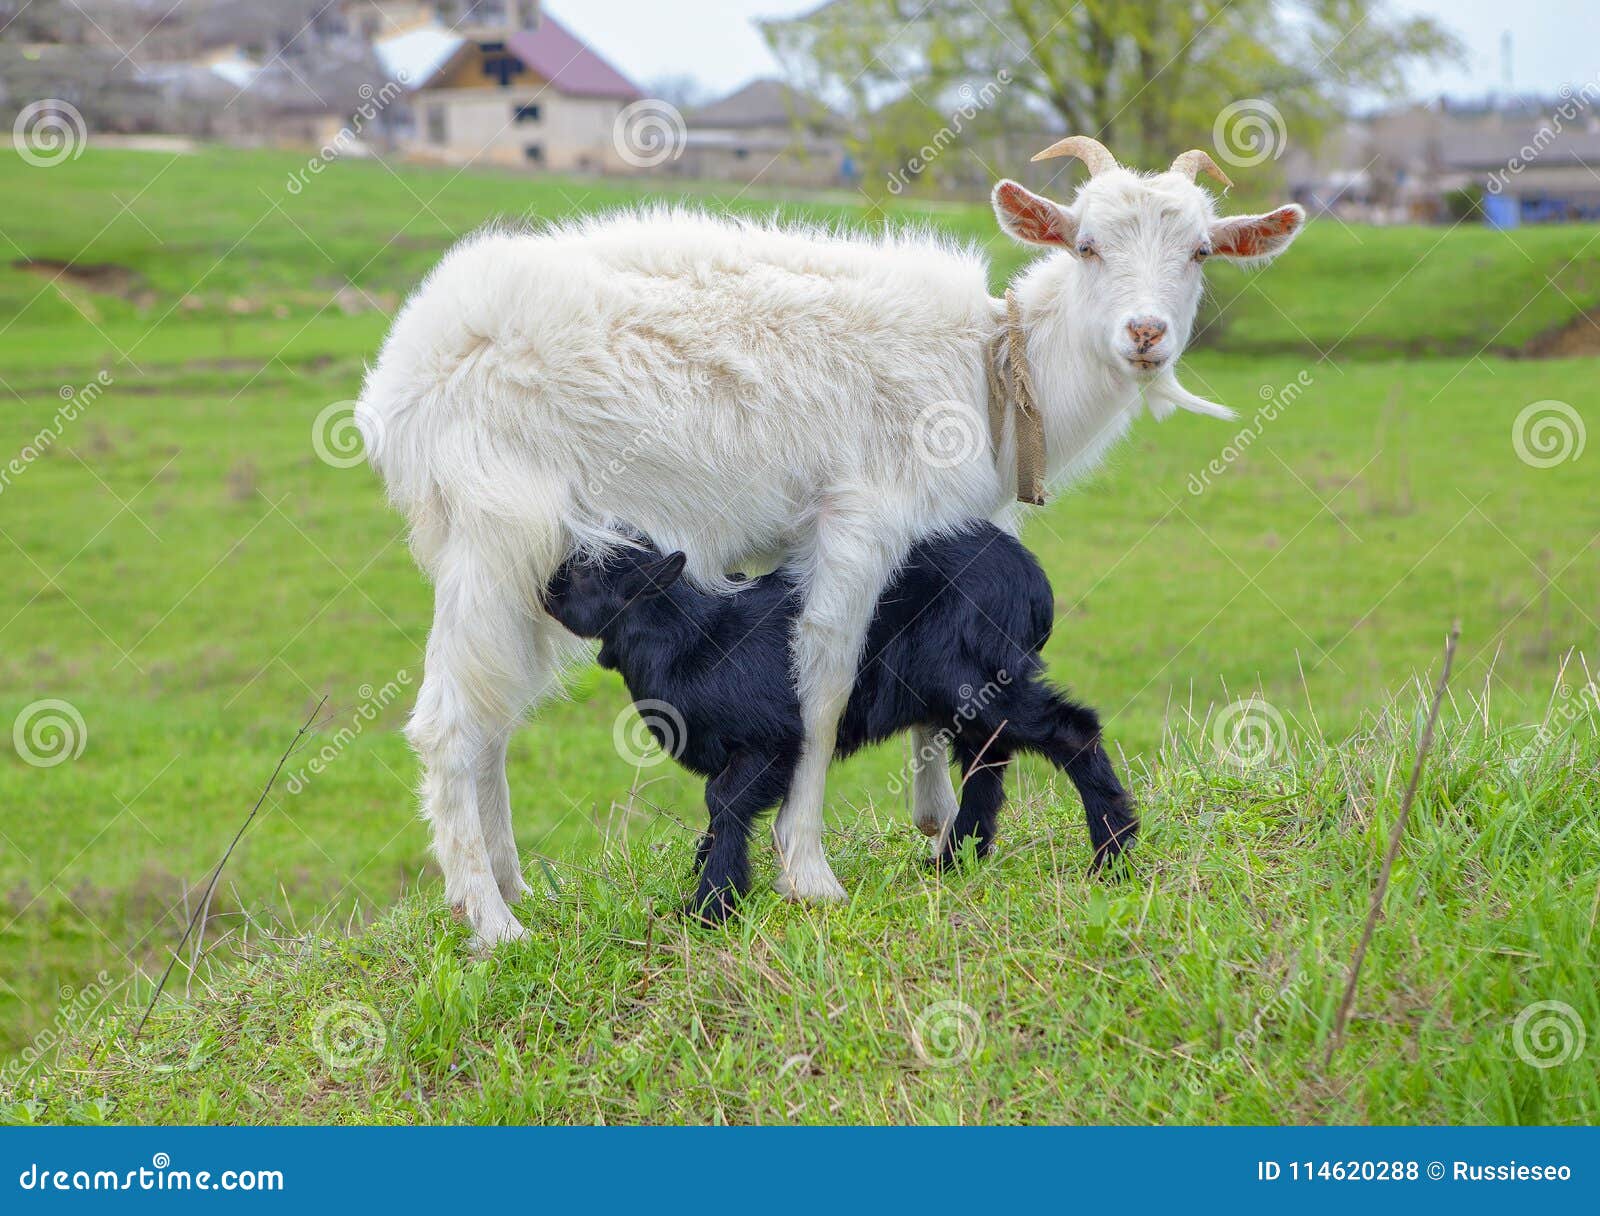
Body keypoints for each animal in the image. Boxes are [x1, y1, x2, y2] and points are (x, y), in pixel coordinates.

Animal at [541, 522, 1134, 921]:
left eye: (589, 571)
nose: (546, 588)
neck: (695, 636)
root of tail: (1033, 580)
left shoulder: (771, 740)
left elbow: (725, 801)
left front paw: (713, 903)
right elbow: (721, 806)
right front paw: (710, 879)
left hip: (982, 681)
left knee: (1071, 731)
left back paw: (1113, 854)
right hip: (968, 692)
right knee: (988, 759)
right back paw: (955, 860)